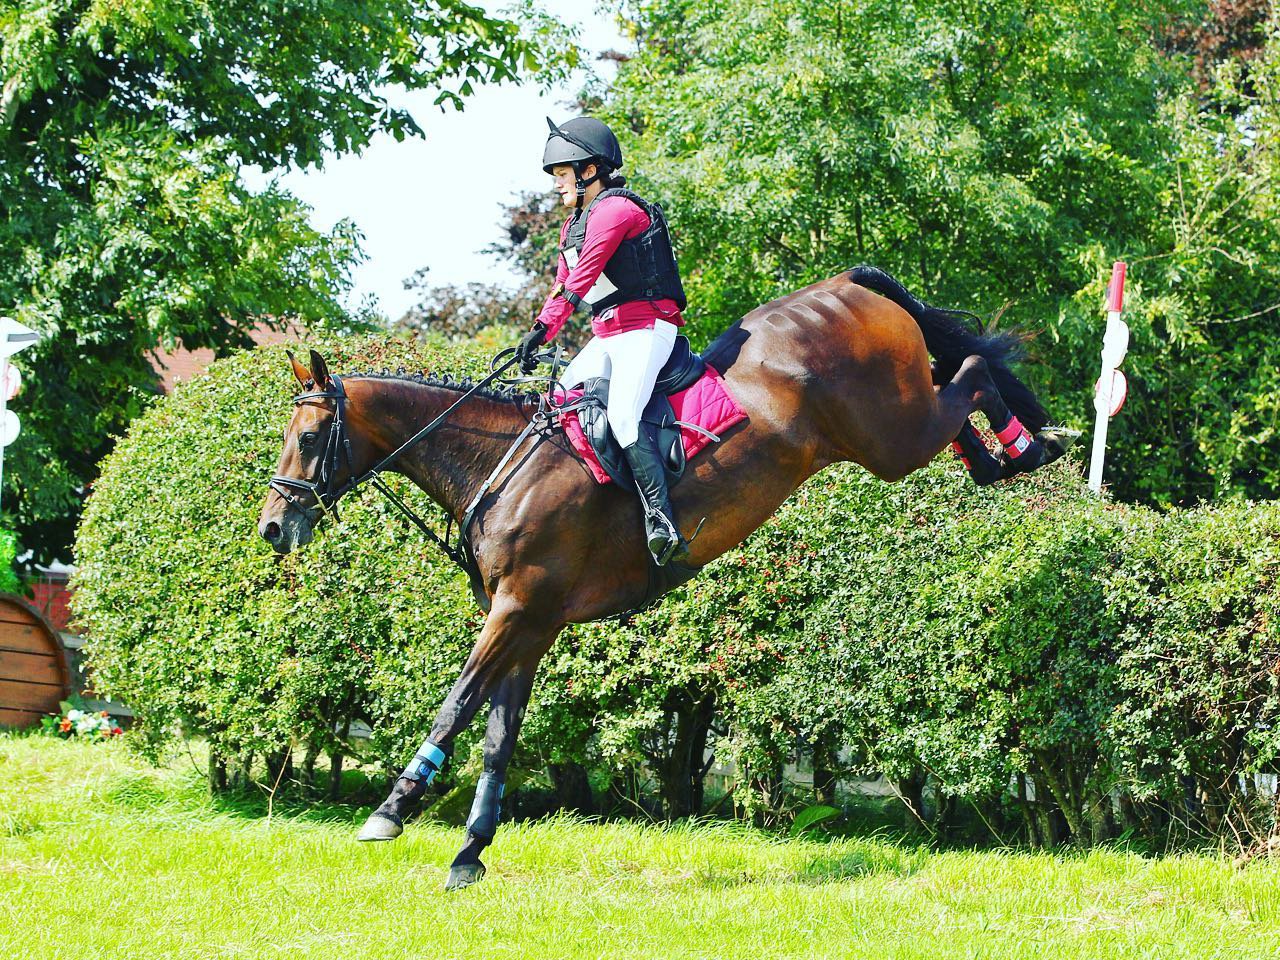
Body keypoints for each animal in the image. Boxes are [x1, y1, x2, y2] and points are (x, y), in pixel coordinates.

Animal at [258, 266, 1075, 889]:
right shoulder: (531, 622)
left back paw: (1029, 446)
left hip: (890, 434)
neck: (499, 464)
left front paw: (390, 813)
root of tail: (847, 283)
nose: (272, 527)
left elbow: (455, 707)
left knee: (970, 375)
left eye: (310, 437)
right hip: (895, 425)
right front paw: (469, 853)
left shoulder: (516, 609)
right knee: (957, 388)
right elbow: (497, 736)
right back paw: (1009, 455)